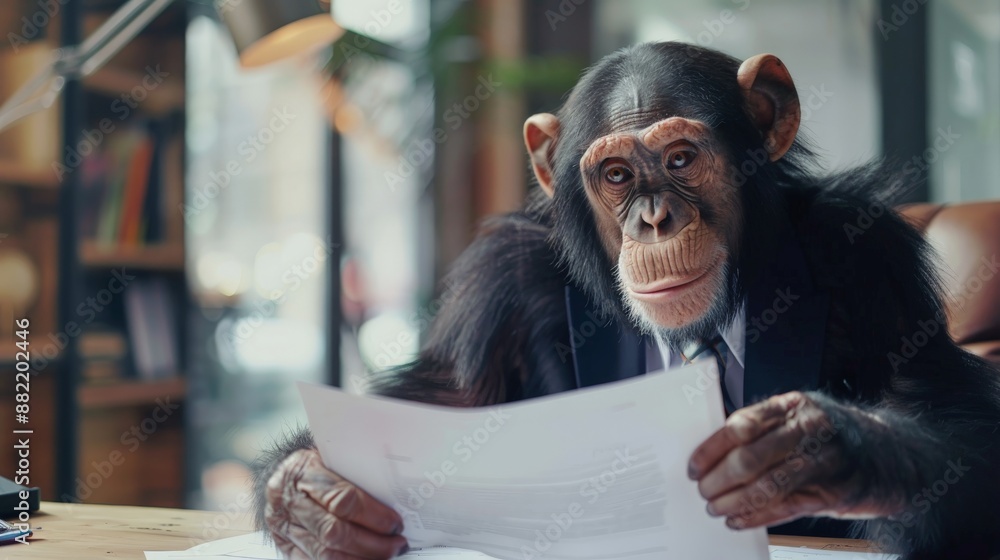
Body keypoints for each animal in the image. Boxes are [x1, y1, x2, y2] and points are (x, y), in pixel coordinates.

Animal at [253, 42, 1000, 560]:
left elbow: (946, 410)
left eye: (680, 159)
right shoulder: (499, 282)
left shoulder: (873, 259)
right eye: (615, 174)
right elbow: (449, 399)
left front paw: (819, 446)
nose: (655, 219)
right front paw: (314, 499)